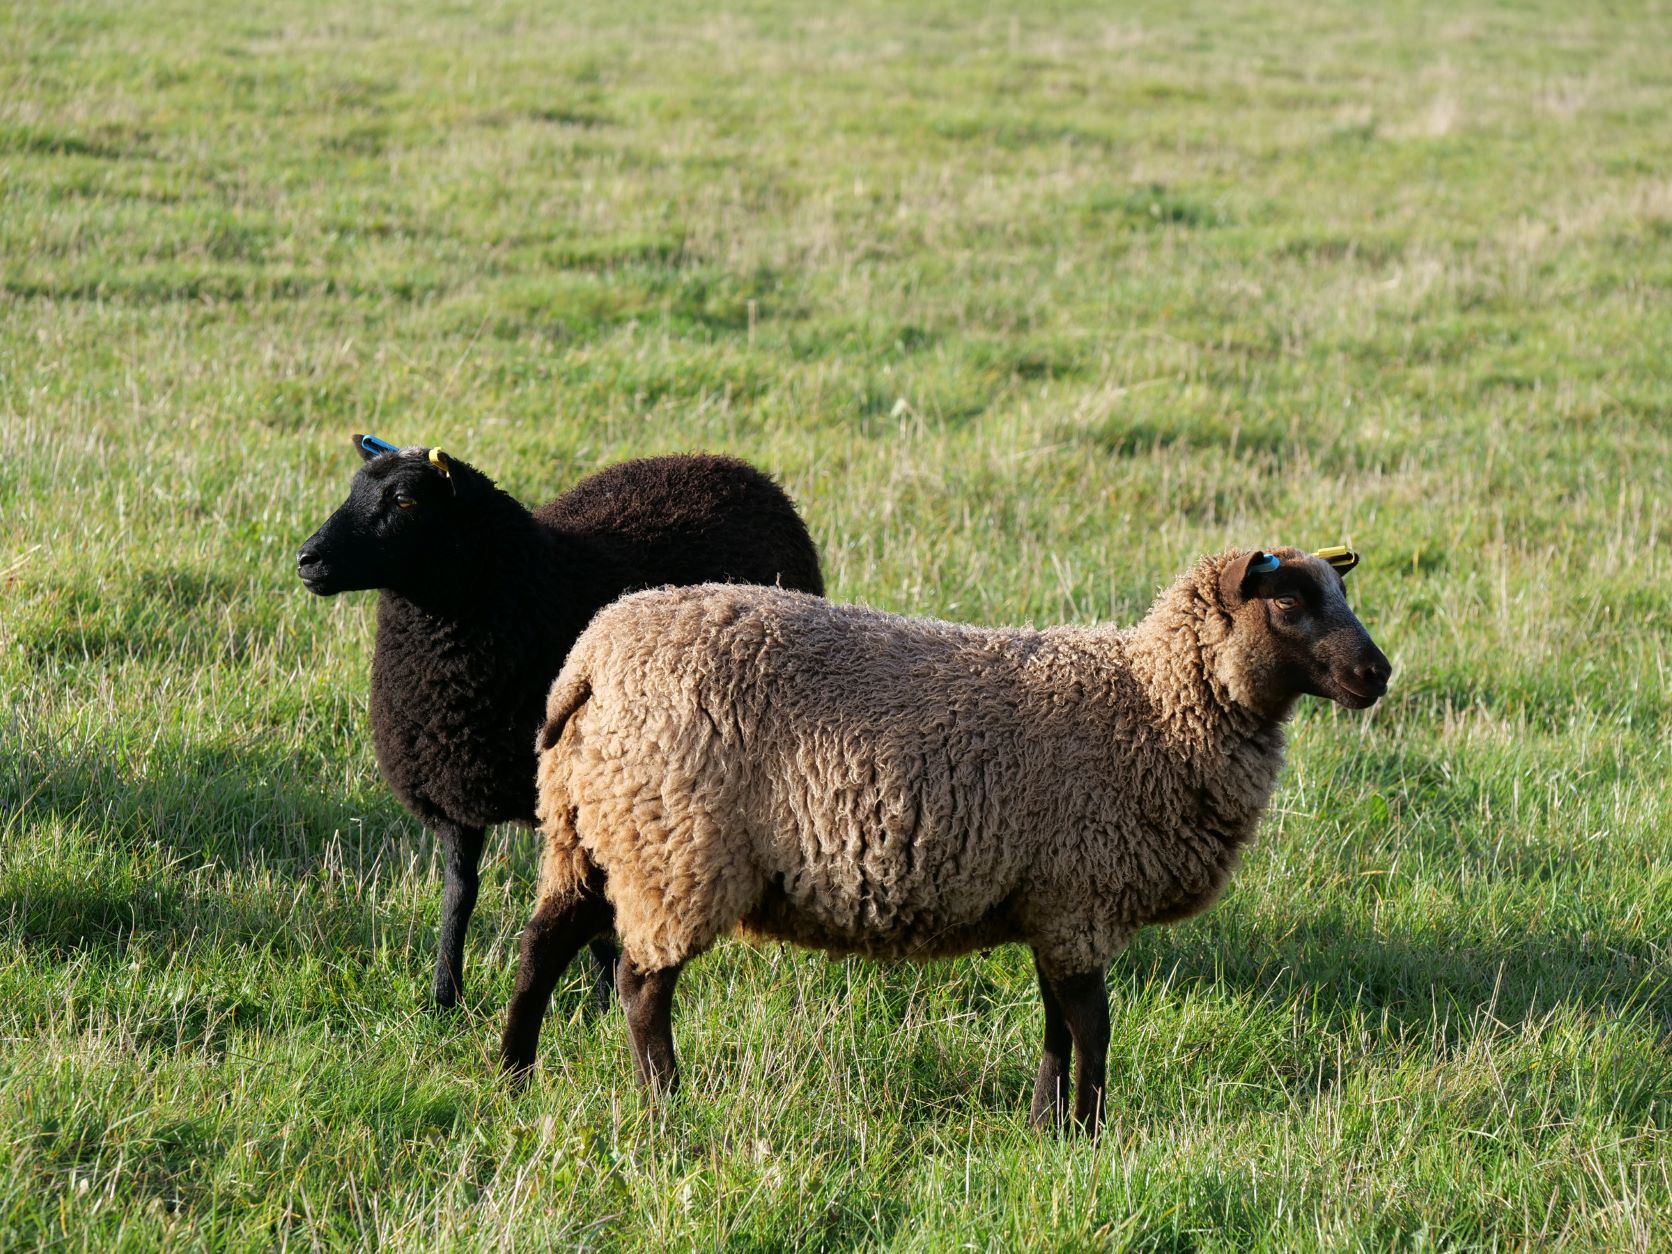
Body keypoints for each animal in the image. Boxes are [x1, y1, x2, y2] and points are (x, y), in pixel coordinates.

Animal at [296, 435, 823, 1009]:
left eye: (405, 500)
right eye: (354, 489)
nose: (307, 559)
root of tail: (731, 466)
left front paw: (603, 999)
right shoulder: (454, 790)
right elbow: (460, 891)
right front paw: (444, 995)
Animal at [500, 546, 1389, 1131]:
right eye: (1288, 604)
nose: (1378, 674)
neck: (1152, 706)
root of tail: (591, 661)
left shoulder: (1050, 904)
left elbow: (1056, 1024)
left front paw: (1047, 1126)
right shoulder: (1080, 900)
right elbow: (1093, 1027)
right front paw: (1094, 1131)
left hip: (591, 833)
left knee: (542, 946)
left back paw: (513, 1078)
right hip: (677, 853)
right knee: (640, 988)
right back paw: (666, 1105)